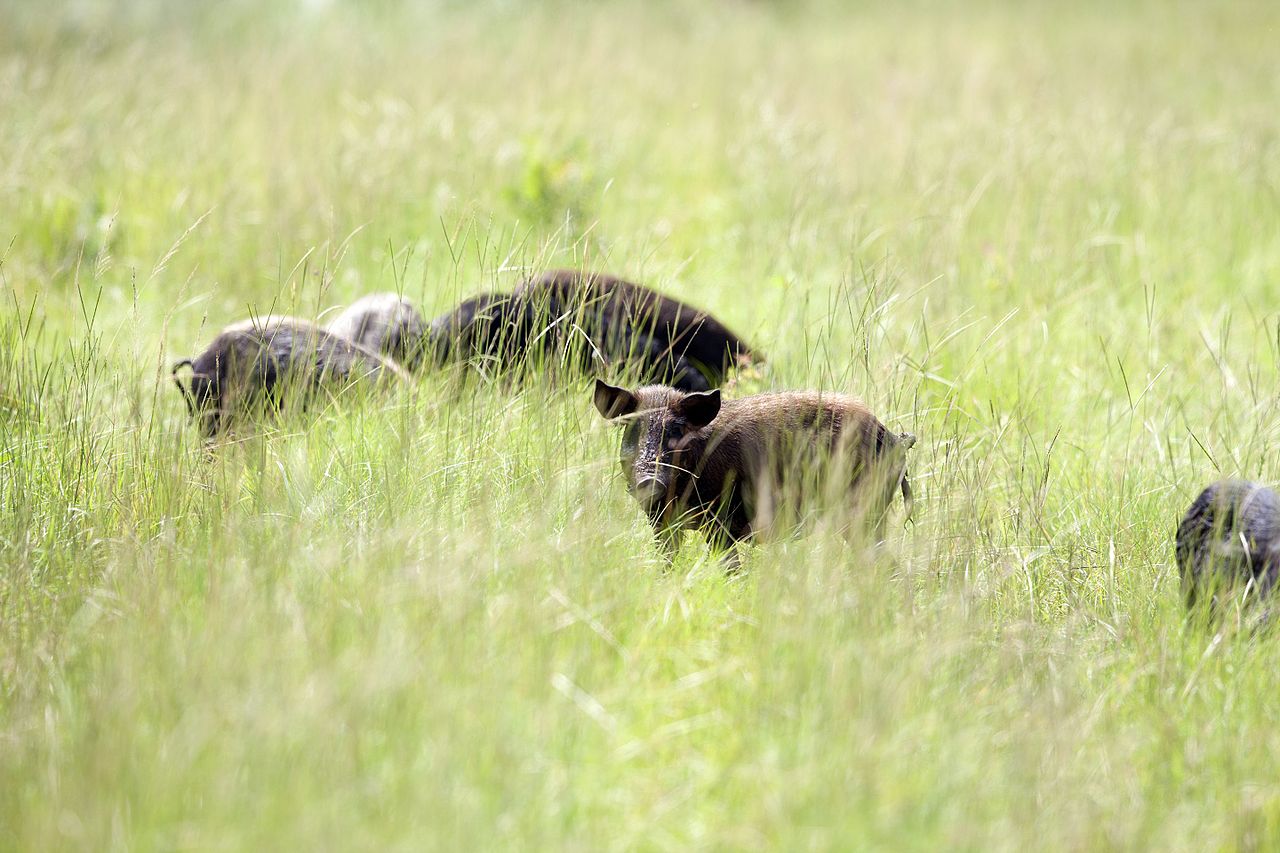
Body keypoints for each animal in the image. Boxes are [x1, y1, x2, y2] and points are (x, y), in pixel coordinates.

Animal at [593, 379, 915, 568]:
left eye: (676, 429)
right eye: (632, 427)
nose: (650, 479)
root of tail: (893, 438)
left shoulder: (720, 523)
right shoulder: (662, 522)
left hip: (864, 512)